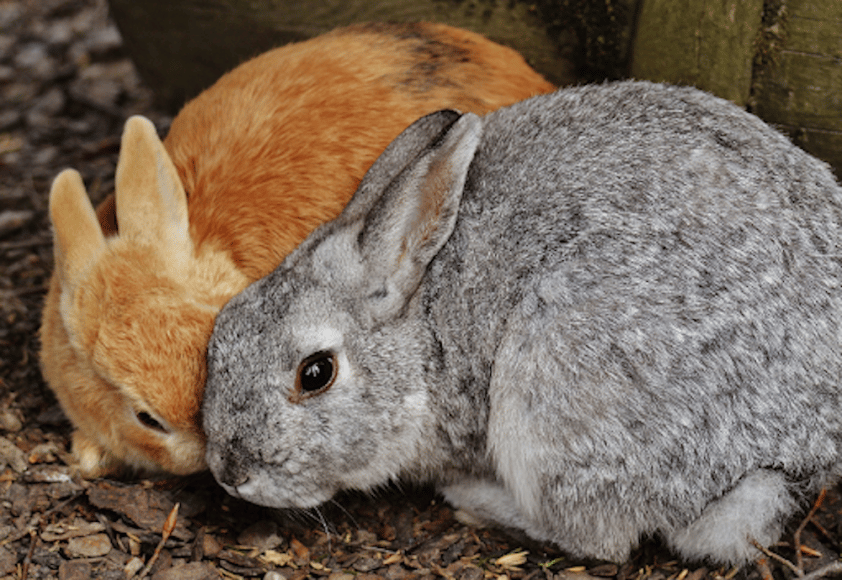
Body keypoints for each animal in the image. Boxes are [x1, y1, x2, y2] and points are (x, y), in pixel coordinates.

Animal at [202, 80, 842, 566]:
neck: (423, 330)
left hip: (556, 385)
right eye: (221, 334)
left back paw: (473, 498)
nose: (229, 471)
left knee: (597, 536)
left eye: (315, 373)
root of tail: (791, 455)